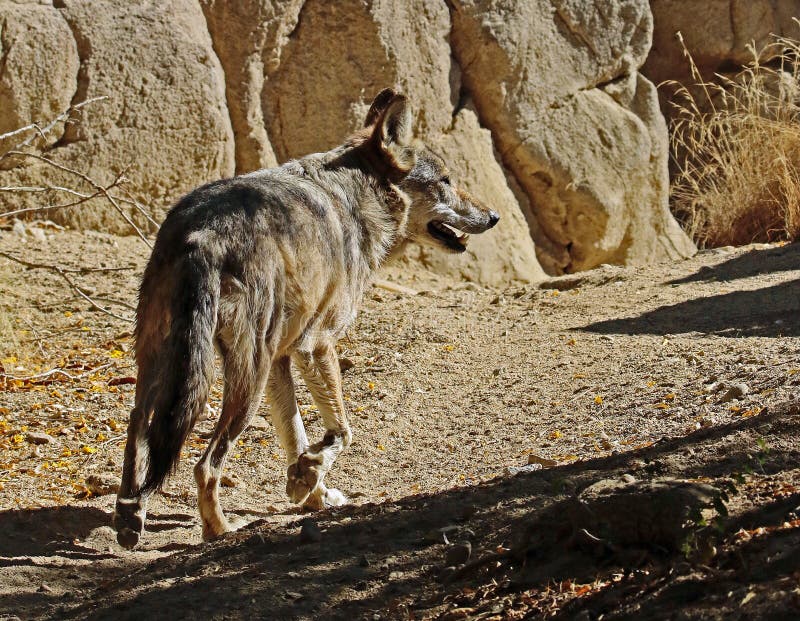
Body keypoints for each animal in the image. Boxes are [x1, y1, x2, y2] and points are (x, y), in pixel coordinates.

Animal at [112, 88, 500, 549]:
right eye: (446, 180)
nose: (494, 216)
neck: (358, 197)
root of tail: (201, 235)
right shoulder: (317, 346)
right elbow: (343, 431)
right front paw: (308, 480)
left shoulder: (285, 357)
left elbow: (296, 434)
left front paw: (309, 488)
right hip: (246, 378)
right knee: (205, 464)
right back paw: (219, 530)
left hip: (165, 364)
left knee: (137, 427)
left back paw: (130, 516)